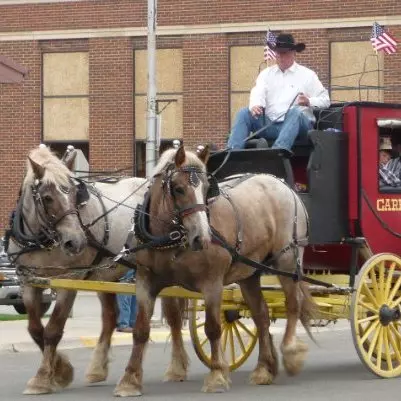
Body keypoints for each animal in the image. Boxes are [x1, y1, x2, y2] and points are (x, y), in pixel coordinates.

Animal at [5, 145, 148, 394]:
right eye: (47, 198)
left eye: (74, 194)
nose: (76, 242)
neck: (42, 239)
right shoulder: (28, 281)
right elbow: (35, 329)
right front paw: (60, 370)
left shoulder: (69, 280)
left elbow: (53, 329)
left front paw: (44, 378)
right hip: (106, 274)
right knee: (110, 318)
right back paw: (97, 369)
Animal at [111, 144, 312, 394]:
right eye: (178, 189)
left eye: (207, 188)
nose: (202, 237)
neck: (170, 237)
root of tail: (282, 185)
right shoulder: (145, 280)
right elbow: (141, 330)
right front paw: (129, 380)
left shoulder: (212, 282)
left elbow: (213, 328)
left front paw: (216, 375)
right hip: (249, 273)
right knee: (261, 316)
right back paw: (263, 369)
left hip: (287, 260)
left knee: (293, 305)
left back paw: (291, 352)